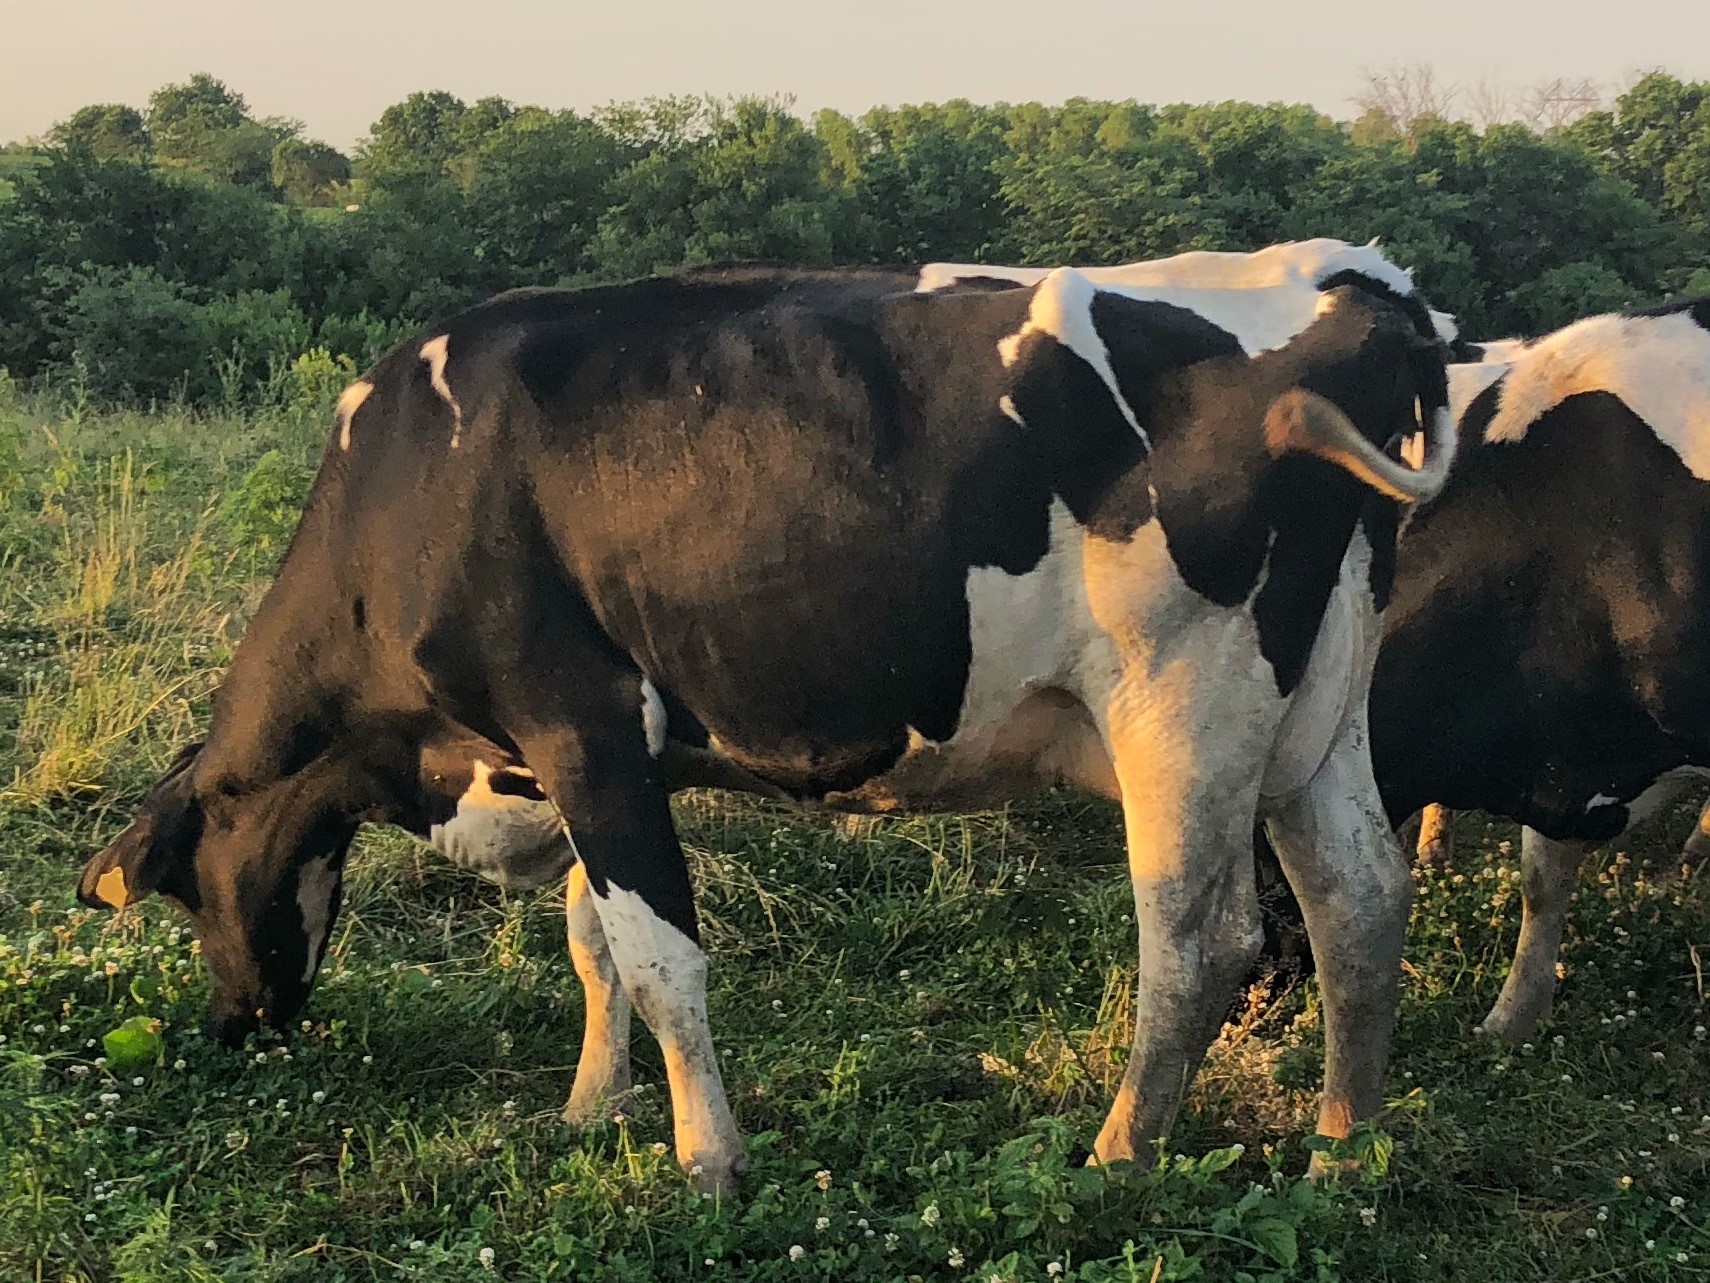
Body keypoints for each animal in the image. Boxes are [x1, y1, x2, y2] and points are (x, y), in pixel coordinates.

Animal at [76, 263, 1453, 1193]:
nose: (230, 1022)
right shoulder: (608, 759)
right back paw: (1345, 1145)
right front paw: (592, 1104)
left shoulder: (579, 723)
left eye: (187, 889)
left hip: (1182, 705)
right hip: (1319, 714)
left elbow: (659, 958)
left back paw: (1119, 1155)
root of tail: (1352, 291)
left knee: (1198, 938)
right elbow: (595, 940)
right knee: (1358, 901)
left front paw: (709, 1161)